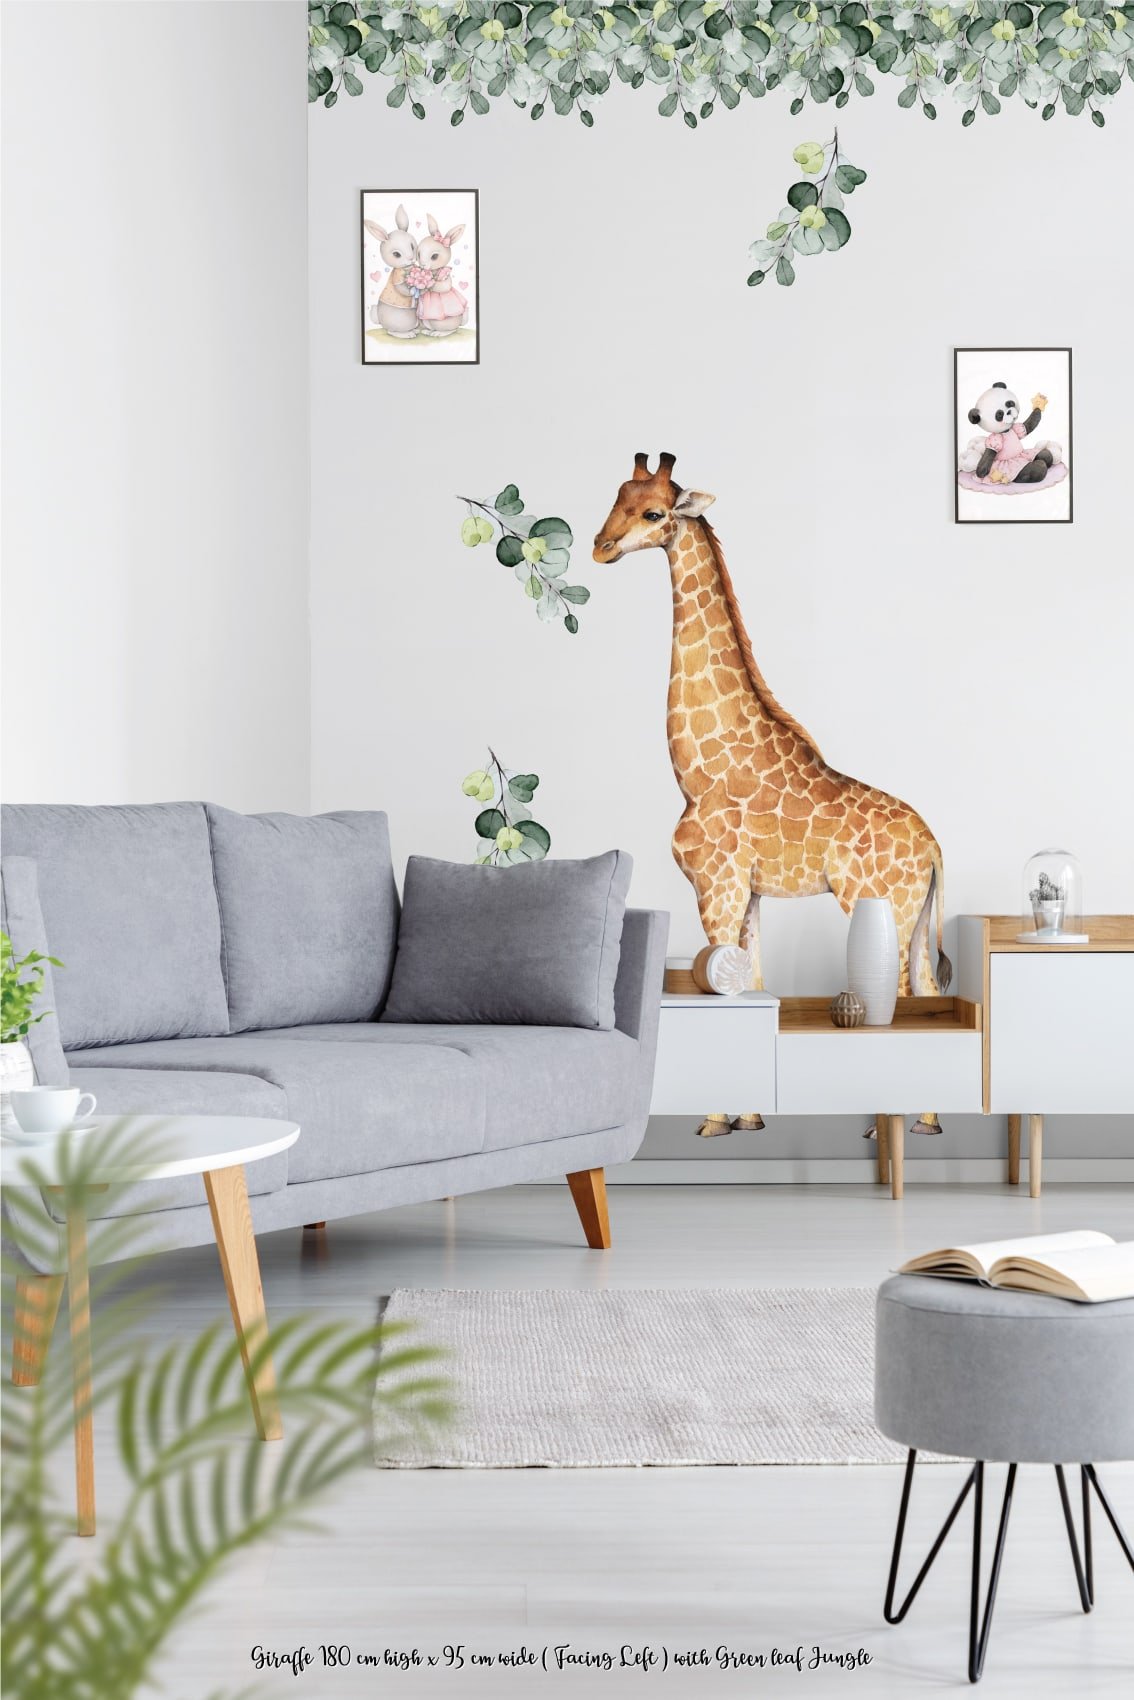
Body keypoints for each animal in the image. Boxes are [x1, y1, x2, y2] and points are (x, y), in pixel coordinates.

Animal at [594, 453, 951, 1133]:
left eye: (652, 513)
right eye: (613, 499)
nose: (600, 547)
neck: (697, 771)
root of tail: (937, 847)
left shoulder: (716, 885)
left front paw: (715, 1119)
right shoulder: (748, 892)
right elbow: (753, 978)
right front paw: (750, 1117)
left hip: (881, 906)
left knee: (902, 992)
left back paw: (889, 1122)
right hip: (917, 915)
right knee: (930, 989)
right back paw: (922, 1121)